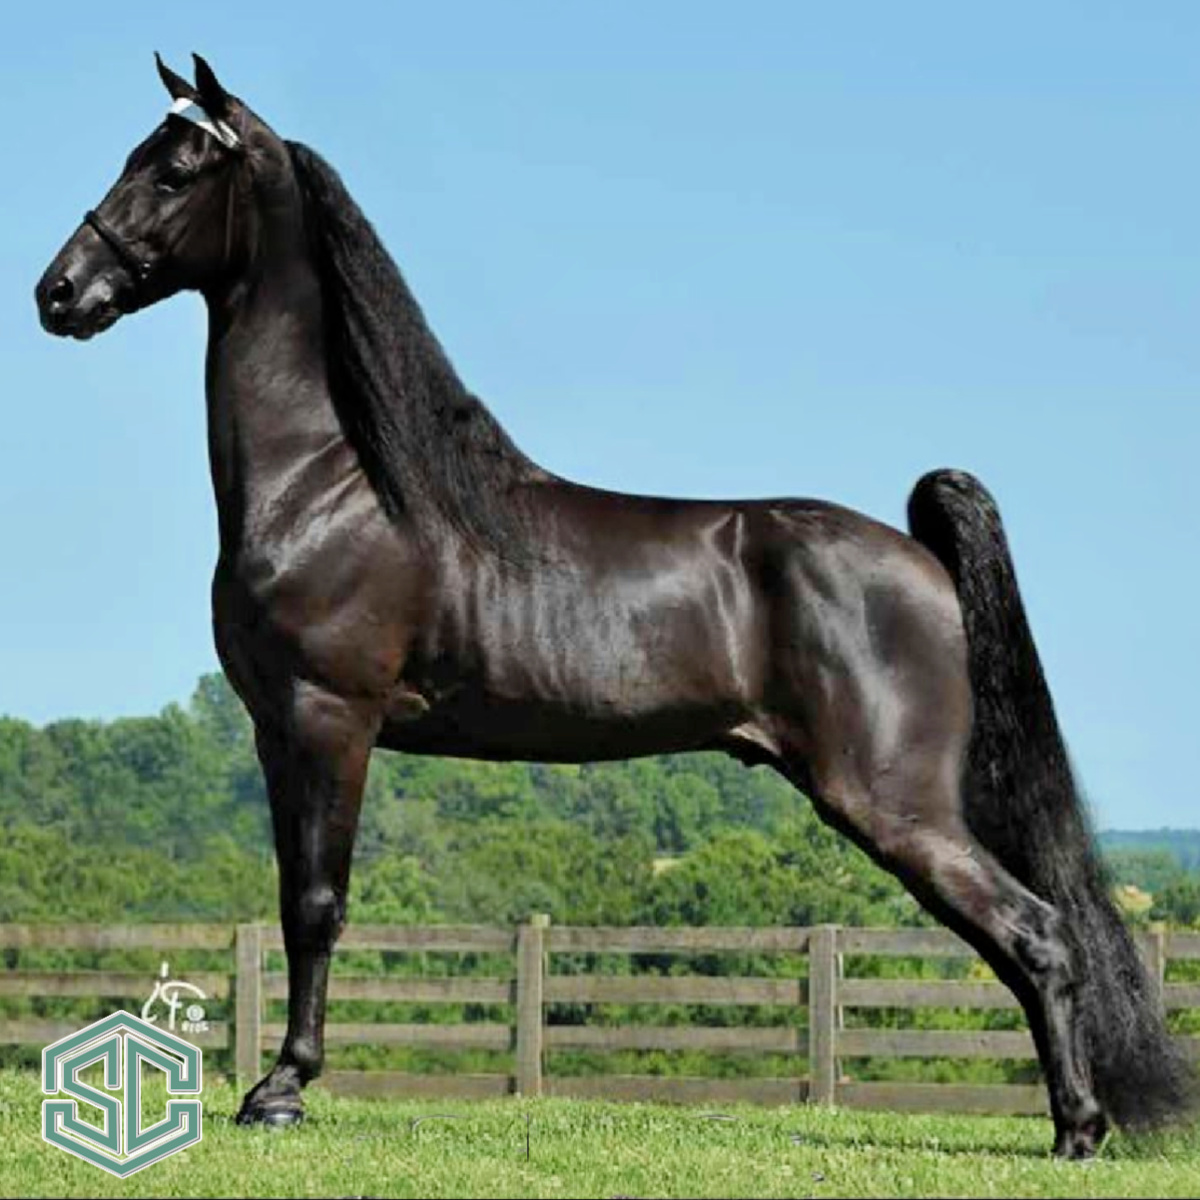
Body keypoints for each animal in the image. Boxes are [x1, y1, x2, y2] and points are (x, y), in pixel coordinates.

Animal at [35, 54, 1191, 1158]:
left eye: (175, 170)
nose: (60, 292)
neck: (335, 482)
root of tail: (921, 558)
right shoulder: (278, 732)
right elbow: (291, 902)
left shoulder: (330, 719)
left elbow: (318, 905)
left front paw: (279, 1092)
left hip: (897, 806)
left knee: (1037, 935)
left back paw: (1079, 1130)